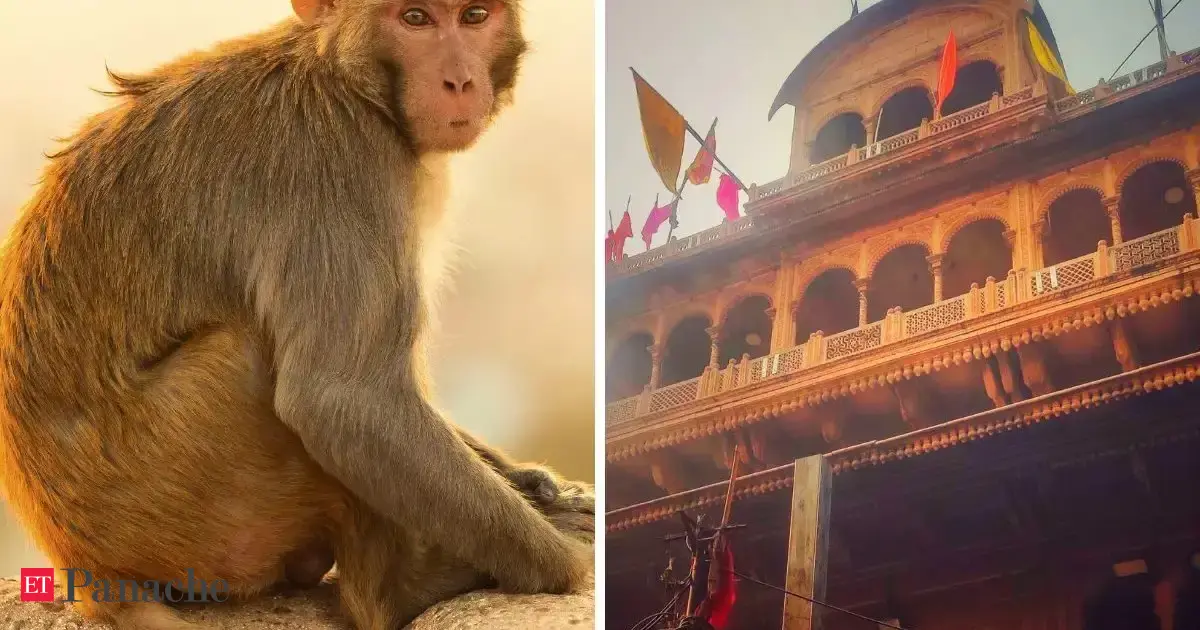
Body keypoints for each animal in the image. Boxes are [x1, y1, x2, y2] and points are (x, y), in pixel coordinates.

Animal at [0, 0, 594, 628]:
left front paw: (531, 482)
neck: (347, 82)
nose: (459, 82)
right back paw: (403, 589)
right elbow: (344, 402)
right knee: (265, 367)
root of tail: (84, 565)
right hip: (183, 502)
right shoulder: (341, 166)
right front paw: (570, 565)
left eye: (474, 16)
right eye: (415, 19)